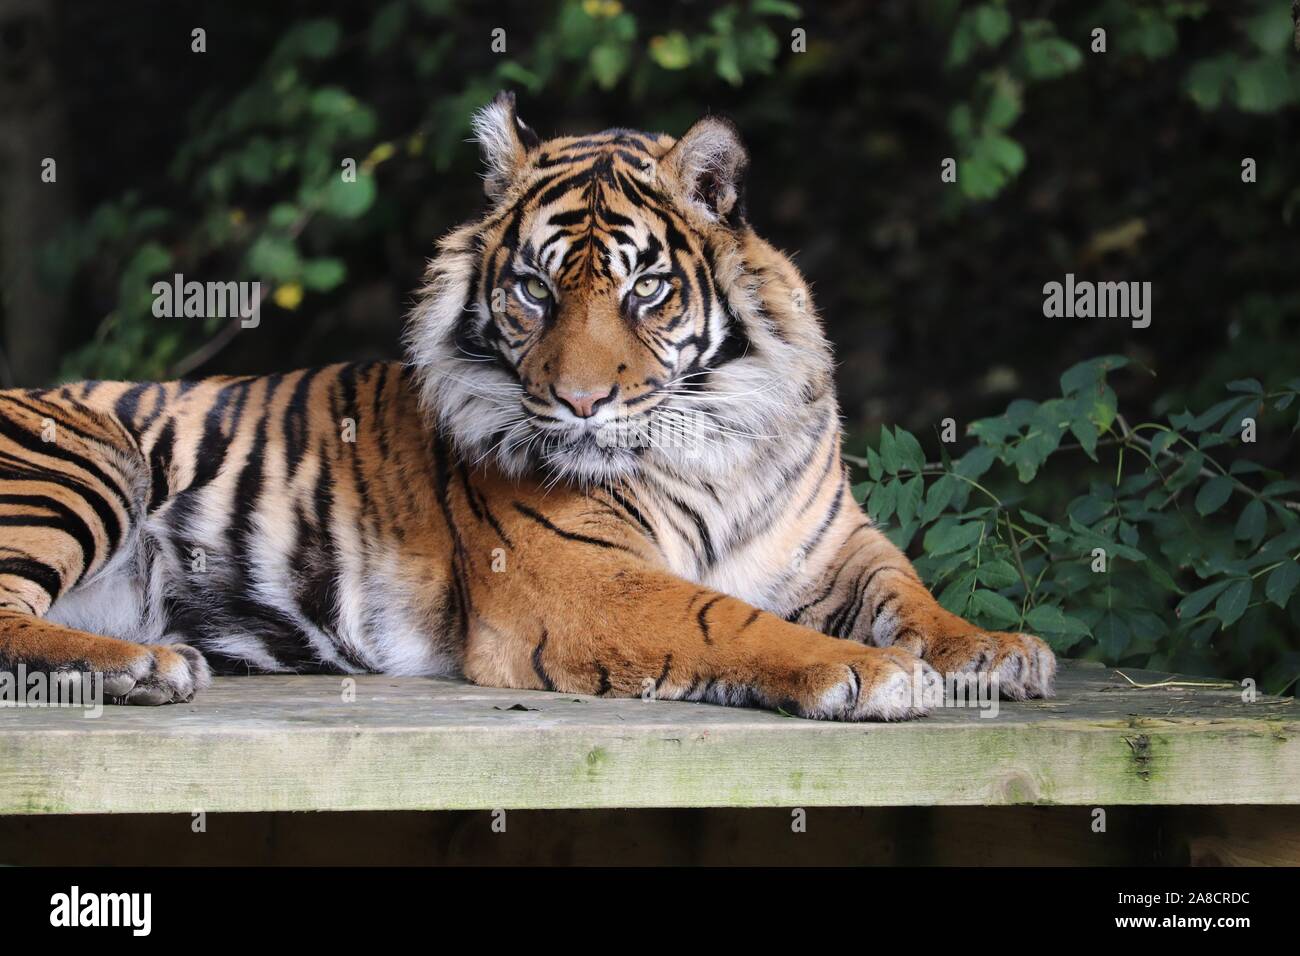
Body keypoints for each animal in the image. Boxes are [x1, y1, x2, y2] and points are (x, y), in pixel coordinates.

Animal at [0, 92, 1054, 719]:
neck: (712, 435)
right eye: (536, 292)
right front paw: (868, 672)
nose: (580, 402)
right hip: (86, 454)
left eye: (645, 291)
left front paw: (994, 652)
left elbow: (908, 592)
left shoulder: (834, 543)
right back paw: (148, 666)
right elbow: (724, 619)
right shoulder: (577, 580)